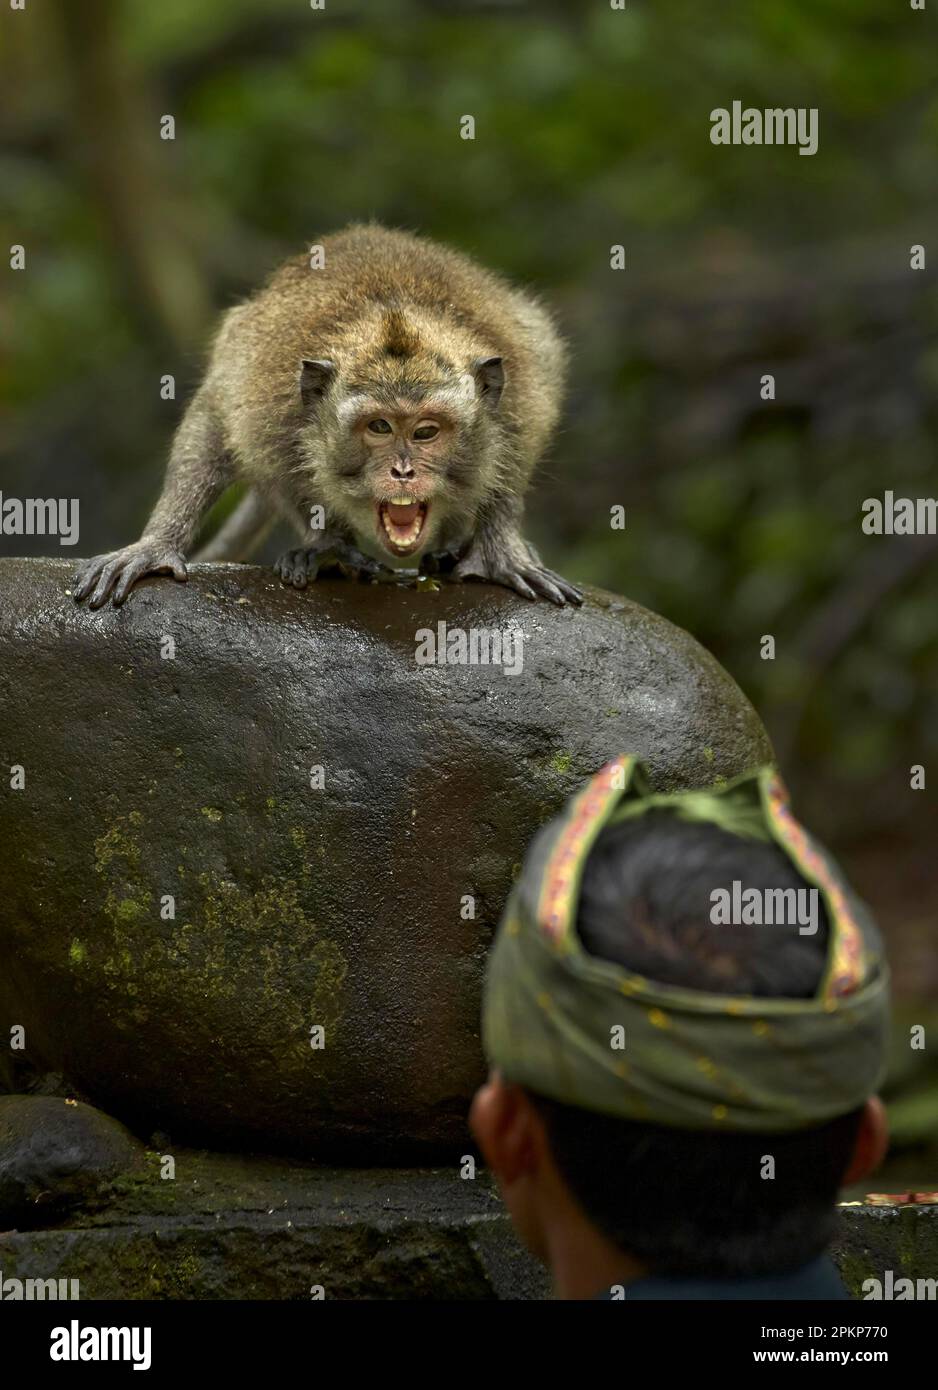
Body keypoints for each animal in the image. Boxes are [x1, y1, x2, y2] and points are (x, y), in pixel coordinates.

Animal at [73, 224, 582, 609]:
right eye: (379, 427)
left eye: (426, 431)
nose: (403, 471)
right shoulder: (261, 394)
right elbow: (215, 420)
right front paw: (155, 545)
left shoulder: (521, 398)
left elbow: (512, 462)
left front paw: (500, 552)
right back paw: (331, 548)